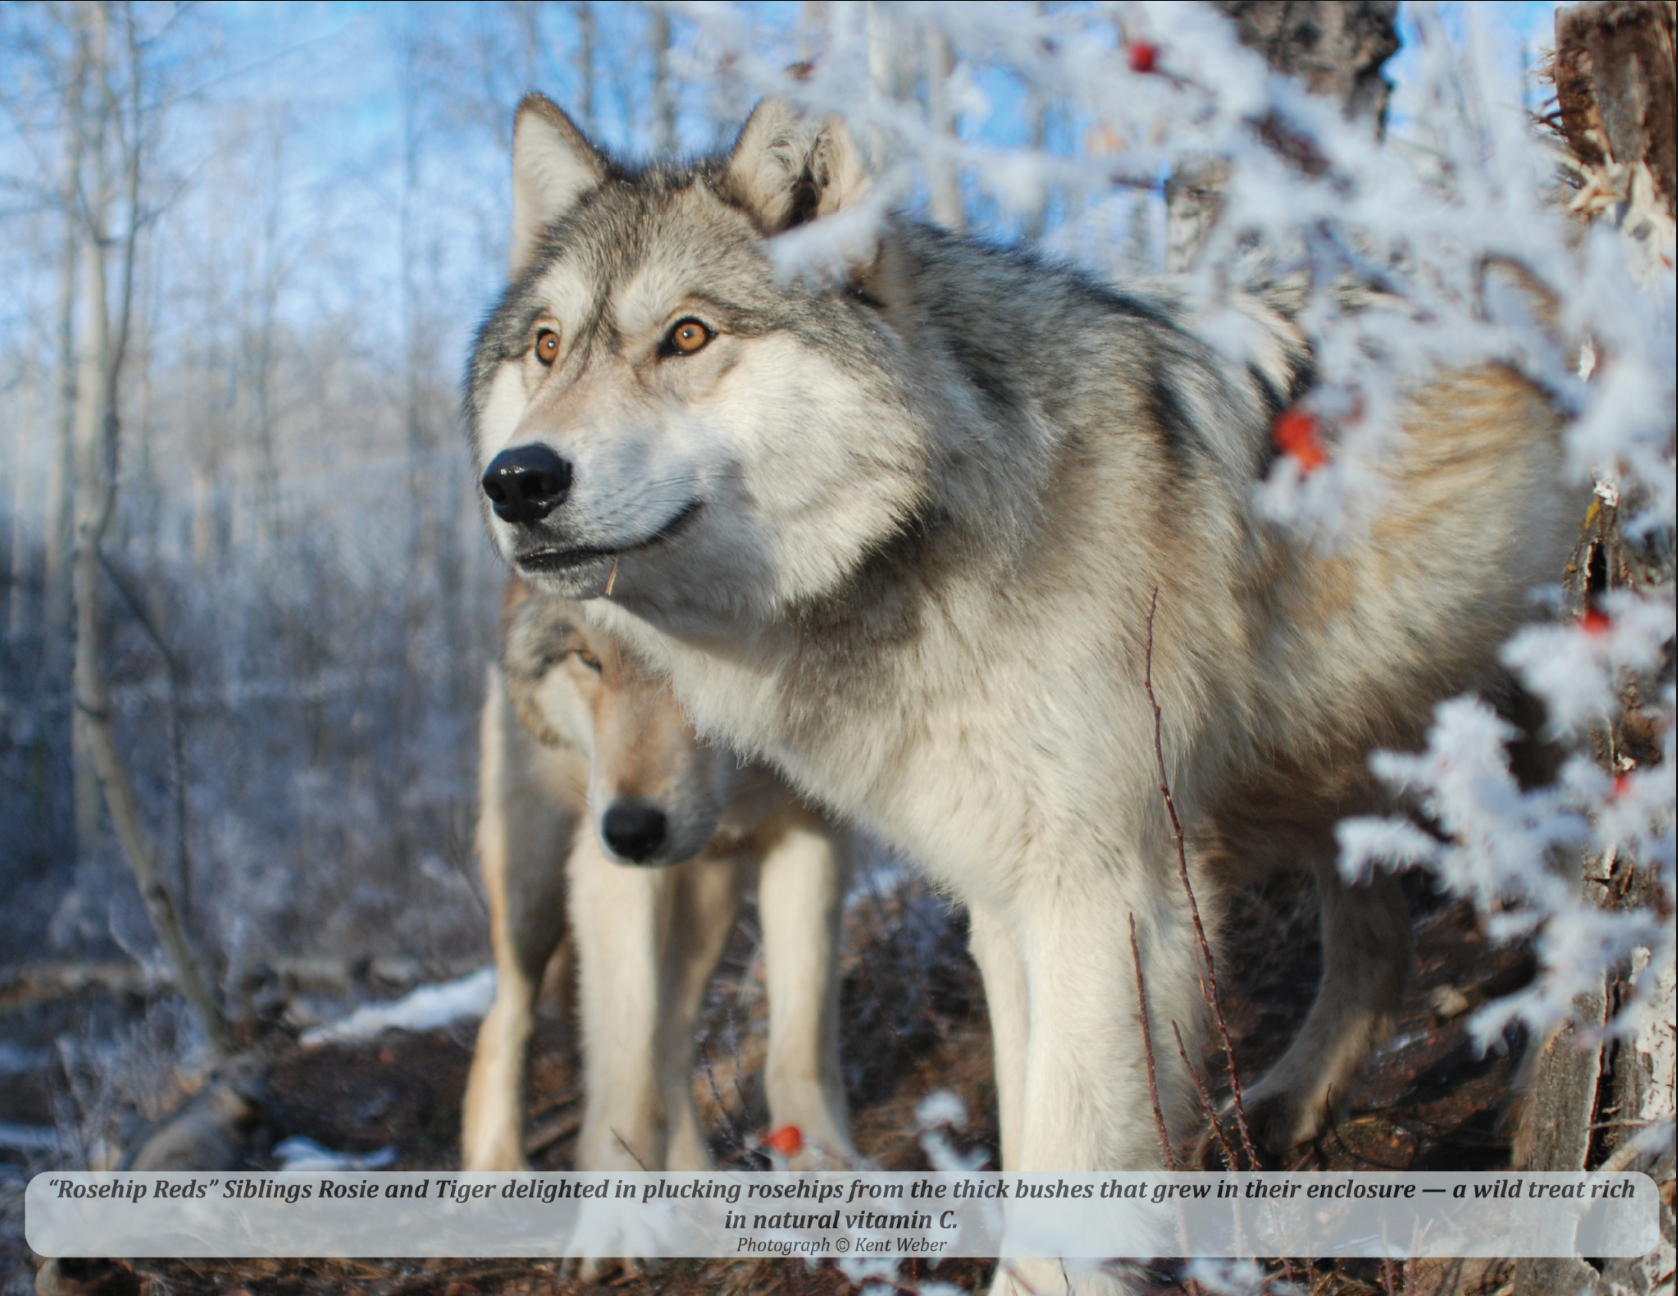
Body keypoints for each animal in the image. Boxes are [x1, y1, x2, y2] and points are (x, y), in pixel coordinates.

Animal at [460, 575, 857, 1173]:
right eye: (588, 659)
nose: (630, 831)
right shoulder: (609, 873)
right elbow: (629, 1074)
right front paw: (621, 1189)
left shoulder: (812, 834)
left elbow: (804, 1039)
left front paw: (826, 1166)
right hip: (534, 890)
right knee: (503, 1019)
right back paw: (498, 1169)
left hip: (710, 901)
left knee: (673, 1035)